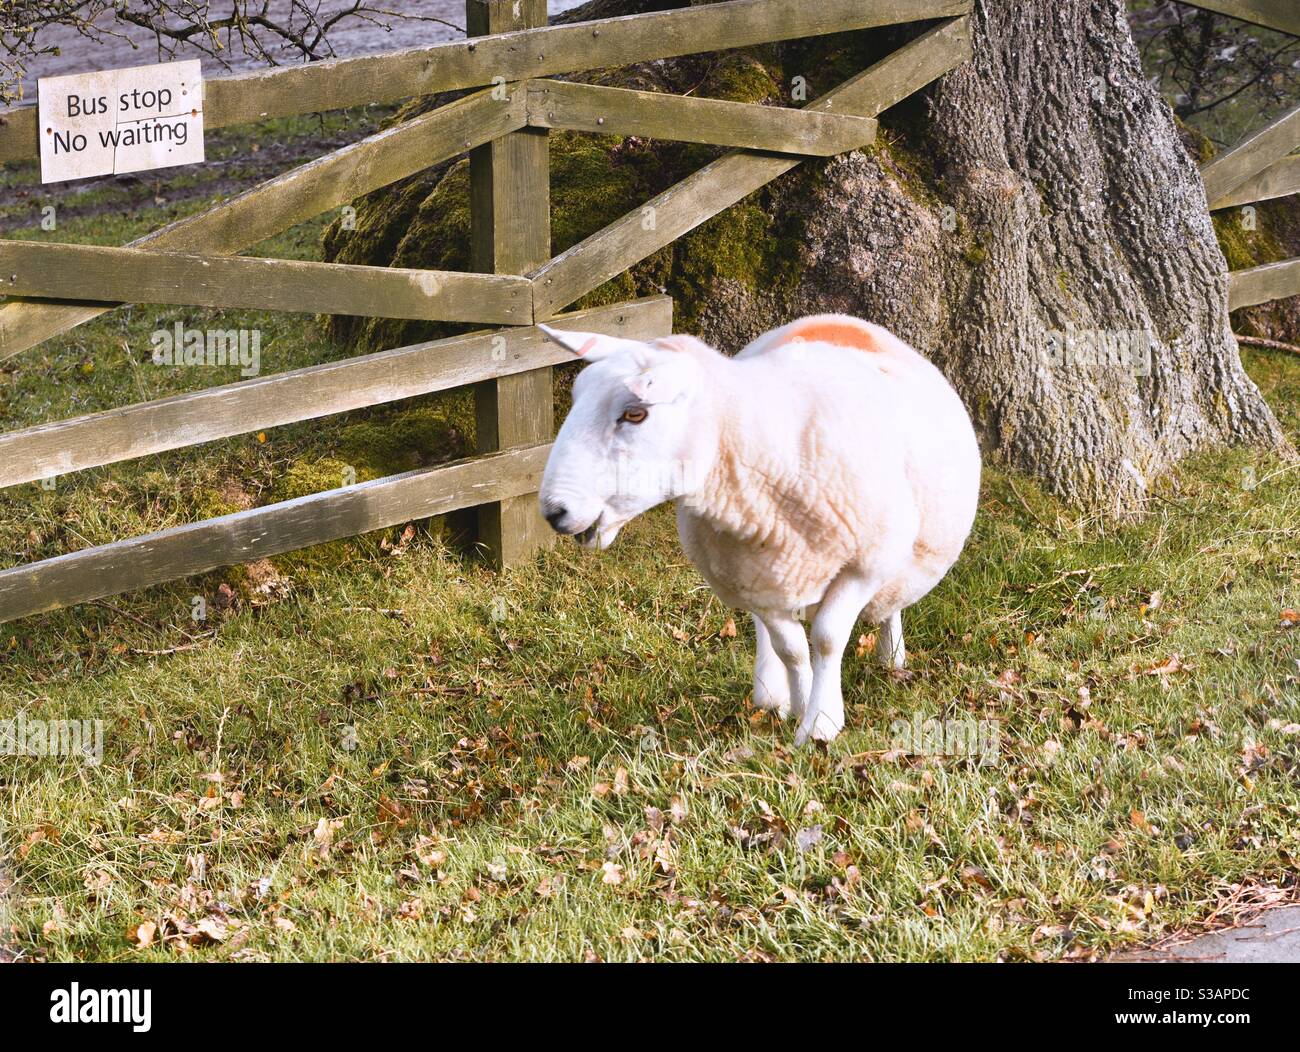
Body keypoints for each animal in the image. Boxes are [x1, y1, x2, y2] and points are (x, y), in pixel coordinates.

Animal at [537, 314, 981, 745]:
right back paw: (770, 691)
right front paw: (801, 704)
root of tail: (839, 317)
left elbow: (826, 638)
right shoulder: (754, 581)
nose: (554, 512)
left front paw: (820, 724)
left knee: (890, 603)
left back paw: (891, 656)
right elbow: (792, 649)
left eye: (635, 413)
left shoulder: (865, 564)